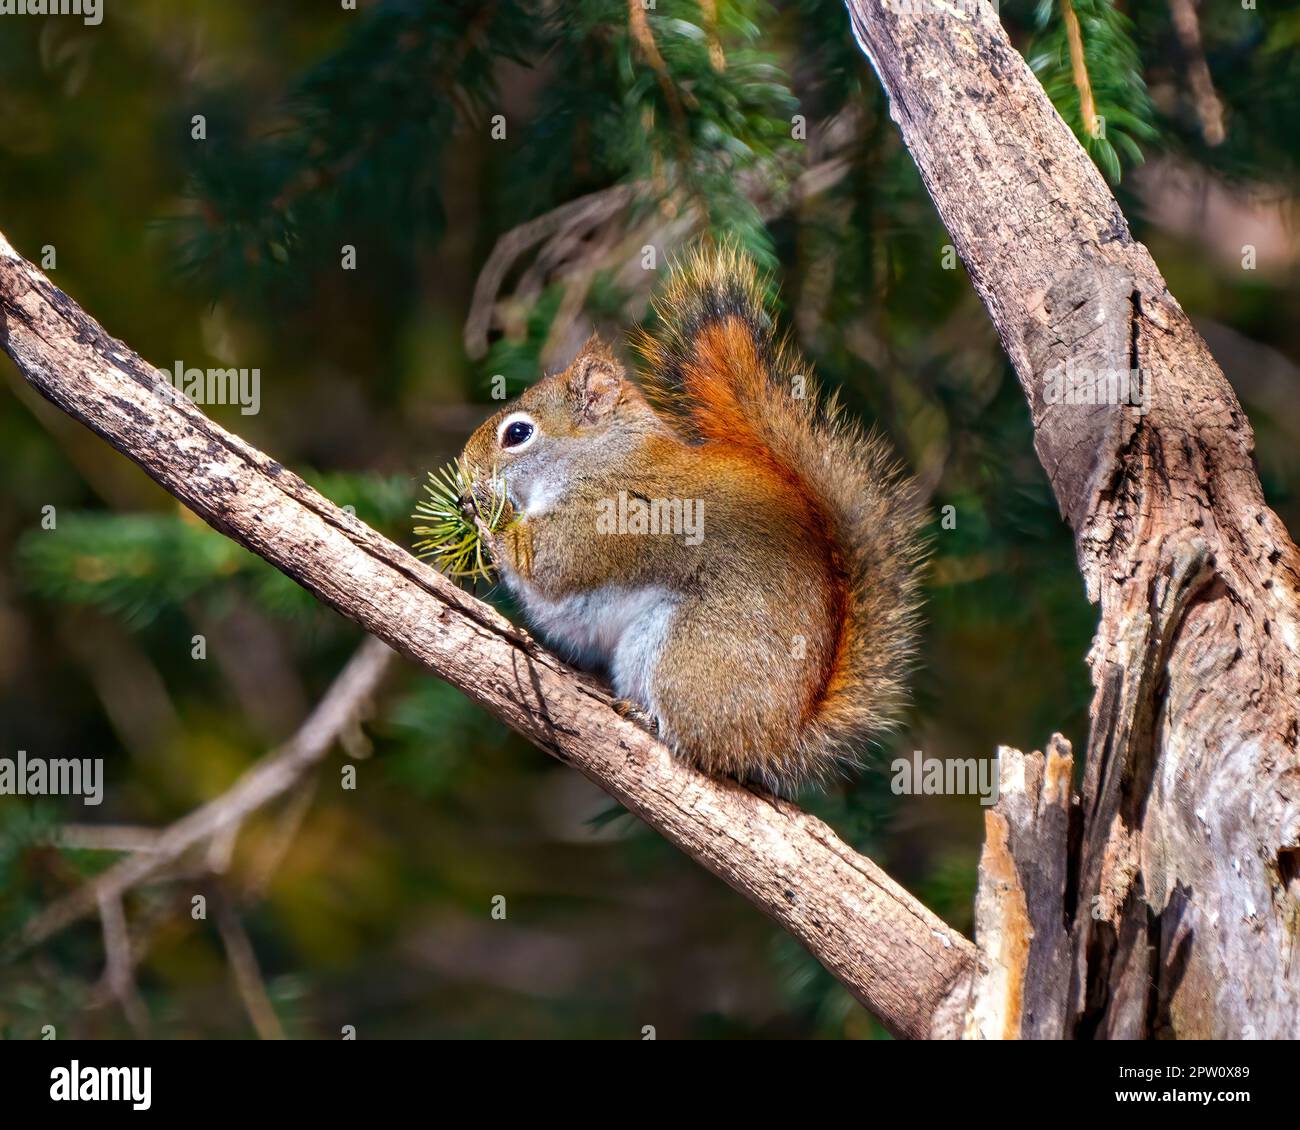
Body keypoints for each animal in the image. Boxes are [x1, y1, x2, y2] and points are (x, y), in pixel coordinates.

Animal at [457, 245, 925, 794]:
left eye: (518, 433)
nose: (464, 470)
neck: (598, 457)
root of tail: (784, 735)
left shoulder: (603, 517)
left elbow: (546, 565)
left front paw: (483, 515)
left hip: (689, 657)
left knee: (700, 743)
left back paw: (650, 721)